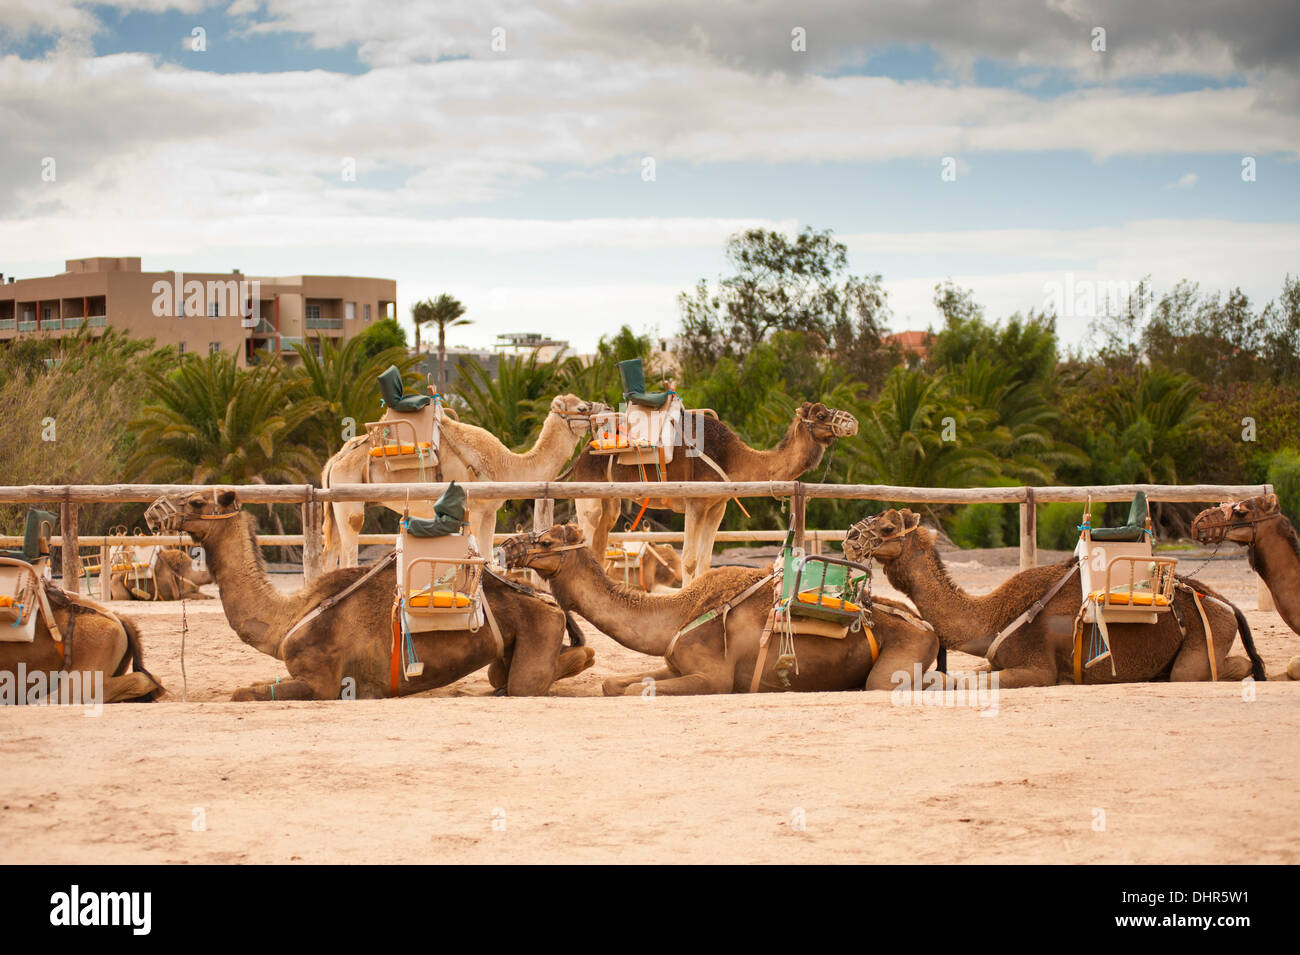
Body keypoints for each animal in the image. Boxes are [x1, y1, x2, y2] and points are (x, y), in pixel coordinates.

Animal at [146, 490, 594, 700]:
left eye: (197, 500)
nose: (153, 509)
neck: (290, 617)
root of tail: (548, 601)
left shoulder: (324, 682)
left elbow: (245, 692)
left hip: (539, 629)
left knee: (536, 676)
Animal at [321, 394, 599, 569]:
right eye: (581, 409)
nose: (601, 405)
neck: (504, 465)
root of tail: (335, 460)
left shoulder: (489, 513)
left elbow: (488, 558)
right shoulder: (473, 510)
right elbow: (476, 559)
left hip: (336, 503)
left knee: (330, 552)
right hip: (349, 500)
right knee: (349, 548)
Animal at [502, 523, 938, 696]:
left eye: (546, 542)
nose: (507, 546)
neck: (678, 613)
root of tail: (928, 627)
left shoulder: (715, 677)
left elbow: (638, 689)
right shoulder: (676, 663)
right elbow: (613, 684)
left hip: (898, 661)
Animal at [570, 401, 858, 585]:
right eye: (820, 415)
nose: (852, 422)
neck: (731, 459)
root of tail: (584, 452)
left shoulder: (716, 506)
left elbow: (705, 562)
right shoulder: (695, 503)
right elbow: (688, 560)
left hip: (610, 499)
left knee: (601, 539)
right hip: (587, 493)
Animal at [843, 508, 1266, 687]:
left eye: (886, 528)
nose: (848, 537)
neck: (993, 617)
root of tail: (1228, 606)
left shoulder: (1037, 667)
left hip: (1206, 639)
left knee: (1218, 669)